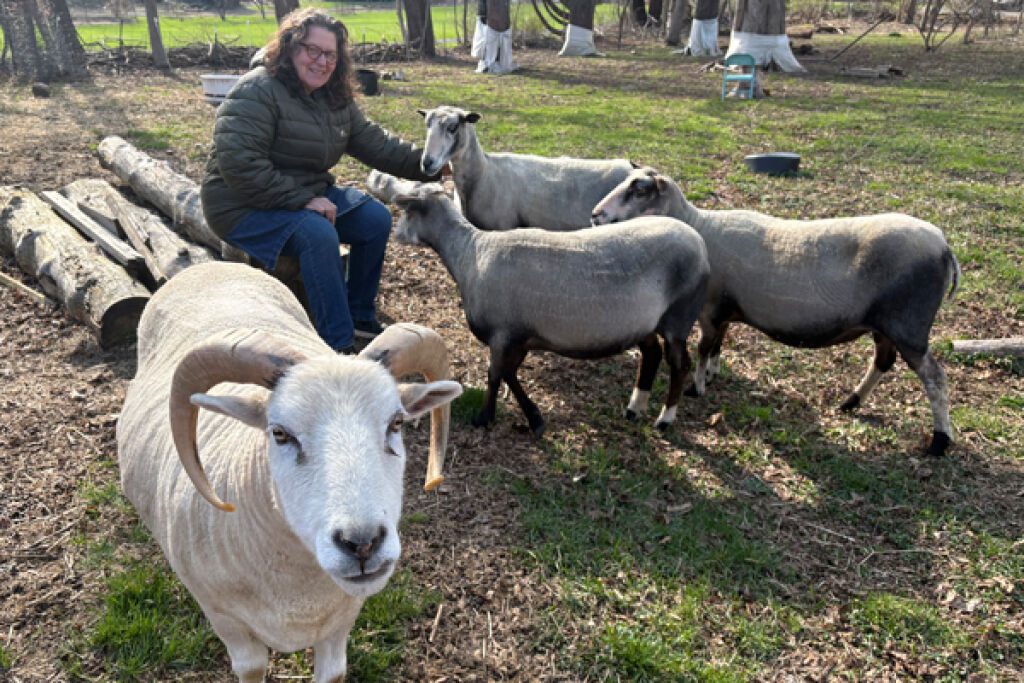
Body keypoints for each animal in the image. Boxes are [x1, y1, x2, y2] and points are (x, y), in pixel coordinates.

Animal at [116, 262, 462, 683]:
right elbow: (251, 668)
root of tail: (208, 266)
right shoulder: (226, 621)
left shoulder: (341, 621)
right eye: (279, 433)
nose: (362, 543)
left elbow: (332, 672)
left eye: (396, 423)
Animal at [369, 171, 710, 437]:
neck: (469, 252)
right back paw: (635, 408)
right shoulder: (519, 336)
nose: (396, 234)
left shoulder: (503, 333)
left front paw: (485, 418)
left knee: (680, 365)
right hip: (645, 322)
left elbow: (495, 375)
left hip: (679, 317)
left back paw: (664, 419)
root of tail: (700, 243)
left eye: (408, 211)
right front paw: (534, 418)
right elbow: (509, 374)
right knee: (651, 355)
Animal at [416, 105, 634, 231]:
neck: (485, 174)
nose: (427, 162)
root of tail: (631, 165)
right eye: (427, 125)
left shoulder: (503, 226)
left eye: (453, 127)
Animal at [591, 167, 961, 456]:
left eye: (639, 190)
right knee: (884, 361)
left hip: (909, 325)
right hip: (885, 325)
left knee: (935, 377)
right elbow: (718, 345)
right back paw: (851, 402)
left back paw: (939, 440)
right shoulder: (724, 311)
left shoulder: (710, 309)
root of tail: (944, 247)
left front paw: (697, 386)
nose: (596, 216)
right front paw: (711, 375)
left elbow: (703, 347)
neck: (698, 224)